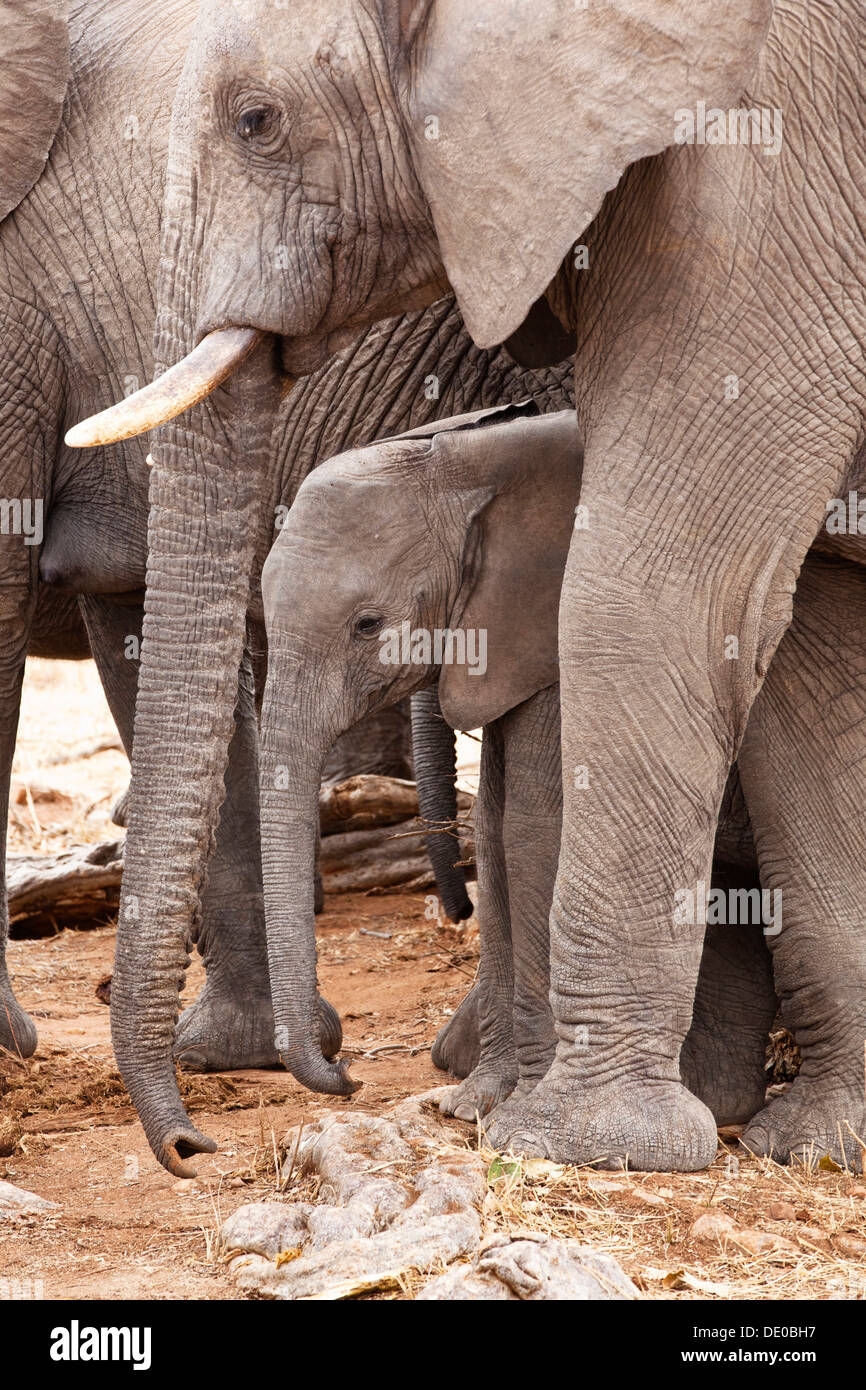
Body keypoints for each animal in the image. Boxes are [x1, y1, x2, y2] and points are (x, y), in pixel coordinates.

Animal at [71, 0, 866, 1171]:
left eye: (258, 122)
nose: (190, 1150)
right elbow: (808, 655)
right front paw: (812, 1145)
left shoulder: (763, 171)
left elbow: (653, 597)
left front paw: (576, 1141)